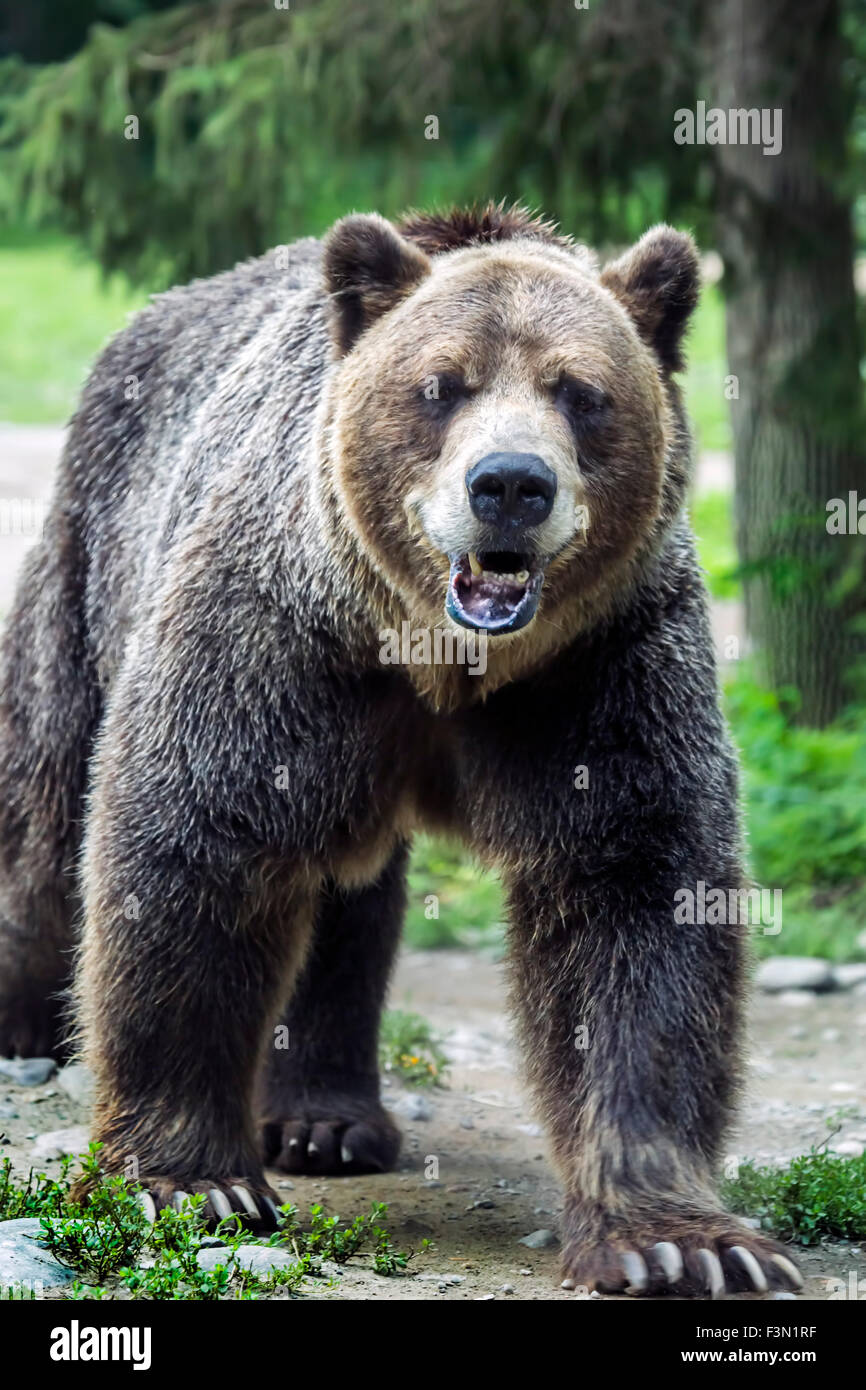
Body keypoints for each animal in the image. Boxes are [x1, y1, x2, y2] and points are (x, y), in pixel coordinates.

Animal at [0, 202, 802, 1297]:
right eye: (441, 384)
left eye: (580, 391)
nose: (508, 483)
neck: (437, 660)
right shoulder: (278, 635)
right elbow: (193, 846)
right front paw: (189, 1180)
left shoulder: (605, 668)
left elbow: (634, 899)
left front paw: (681, 1240)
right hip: (89, 568)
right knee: (43, 809)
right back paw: (23, 1020)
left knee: (346, 896)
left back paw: (324, 1118)